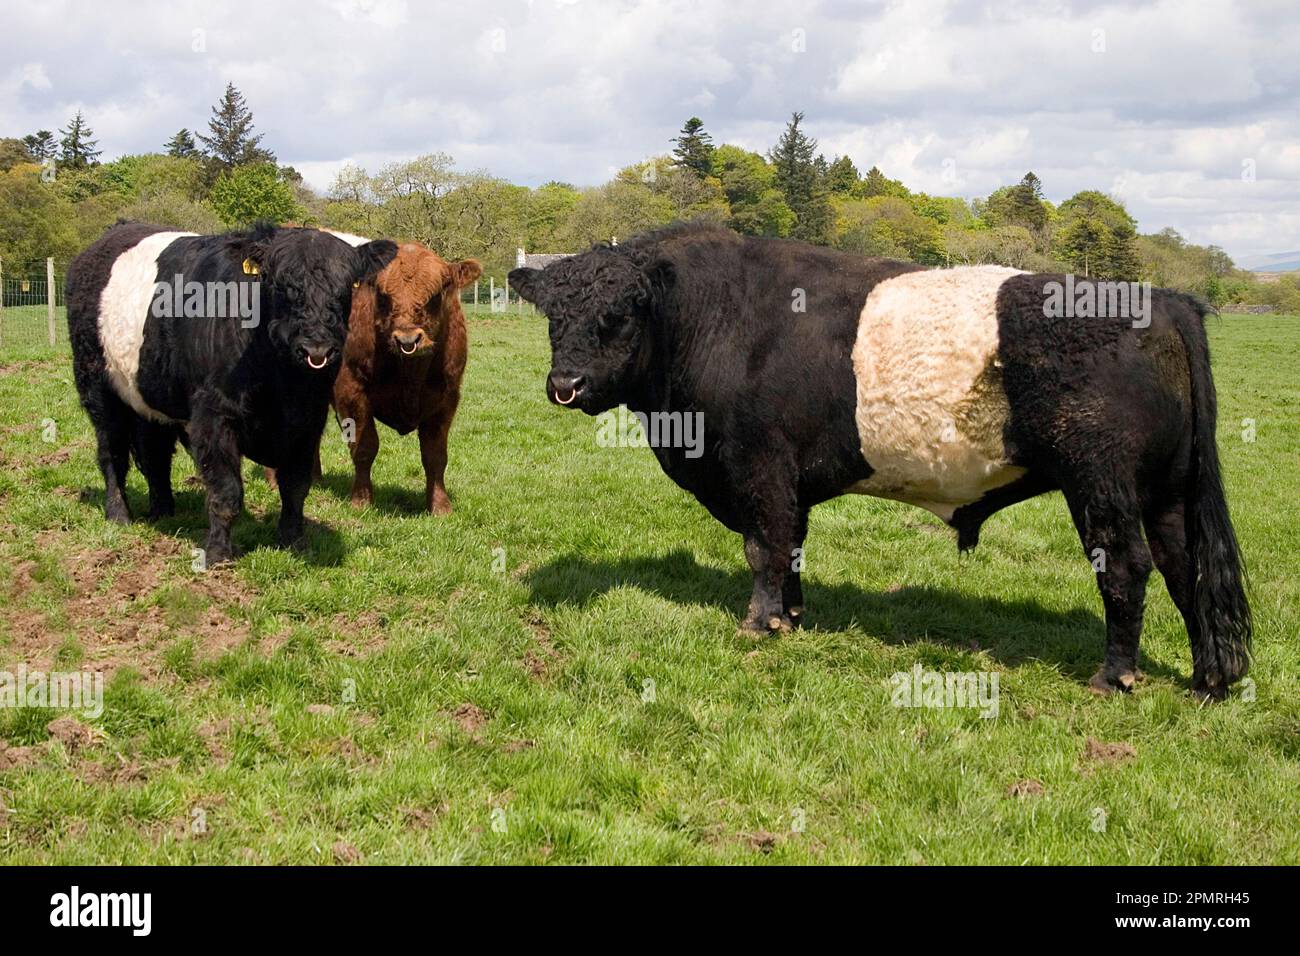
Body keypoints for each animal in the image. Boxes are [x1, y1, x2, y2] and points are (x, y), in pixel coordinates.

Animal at [66, 221, 396, 563]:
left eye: (346, 288)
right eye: (279, 285)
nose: (316, 349)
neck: (281, 382)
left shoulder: (308, 419)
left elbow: (295, 486)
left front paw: (293, 541)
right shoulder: (214, 414)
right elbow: (226, 490)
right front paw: (218, 553)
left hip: (150, 396)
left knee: (154, 452)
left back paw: (164, 511)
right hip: (96, 385)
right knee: (112, 451)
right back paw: (119, 514)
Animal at [509, 222, 1252, 701]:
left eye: (620, 314)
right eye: (553, 316)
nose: (565, 384)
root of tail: (1162, 299)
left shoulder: (759, 464)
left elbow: (763, 546)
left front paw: (757, 624)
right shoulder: (789, 479)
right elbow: (791, 546)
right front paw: (791, 617)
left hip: (1102, 482)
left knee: (1127, 567)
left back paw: (1113, 677)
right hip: (1167, 491)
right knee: (1187, 568)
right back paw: (1207, 680)